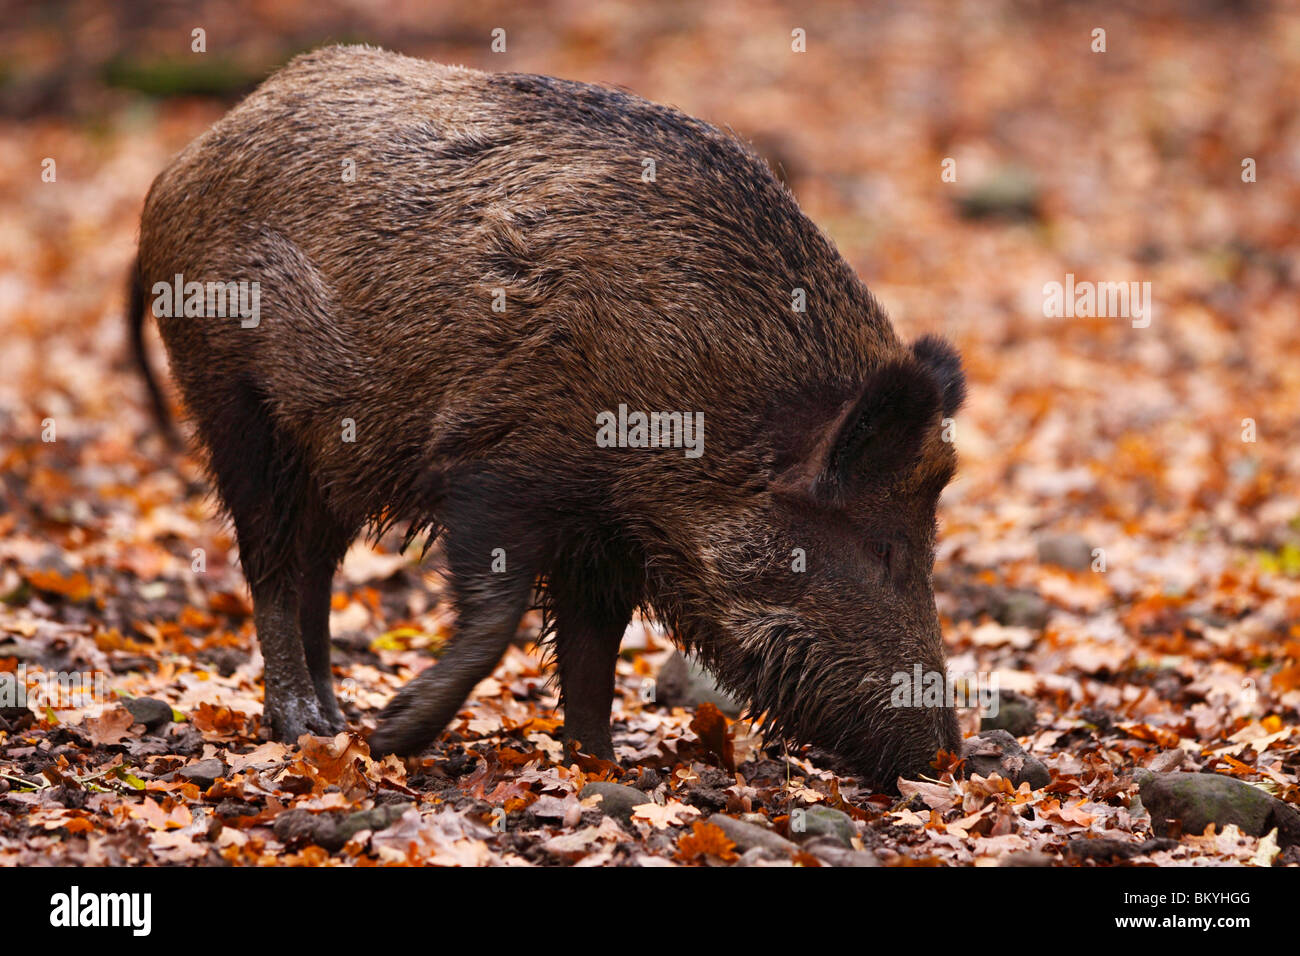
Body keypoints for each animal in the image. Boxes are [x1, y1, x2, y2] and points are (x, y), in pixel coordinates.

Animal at [128, 45, 966, 789]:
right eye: (886, 549)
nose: (947, 758)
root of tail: (181, 164)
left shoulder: (608, 533)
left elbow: (594, 651)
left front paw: (599, 767)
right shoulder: (493, 466)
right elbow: (500, 618)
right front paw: (398, 733)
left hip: (330, 453)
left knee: (314, 572)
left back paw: (334, 726)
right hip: (233, 404)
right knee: (269, 562)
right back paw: (306, 726)